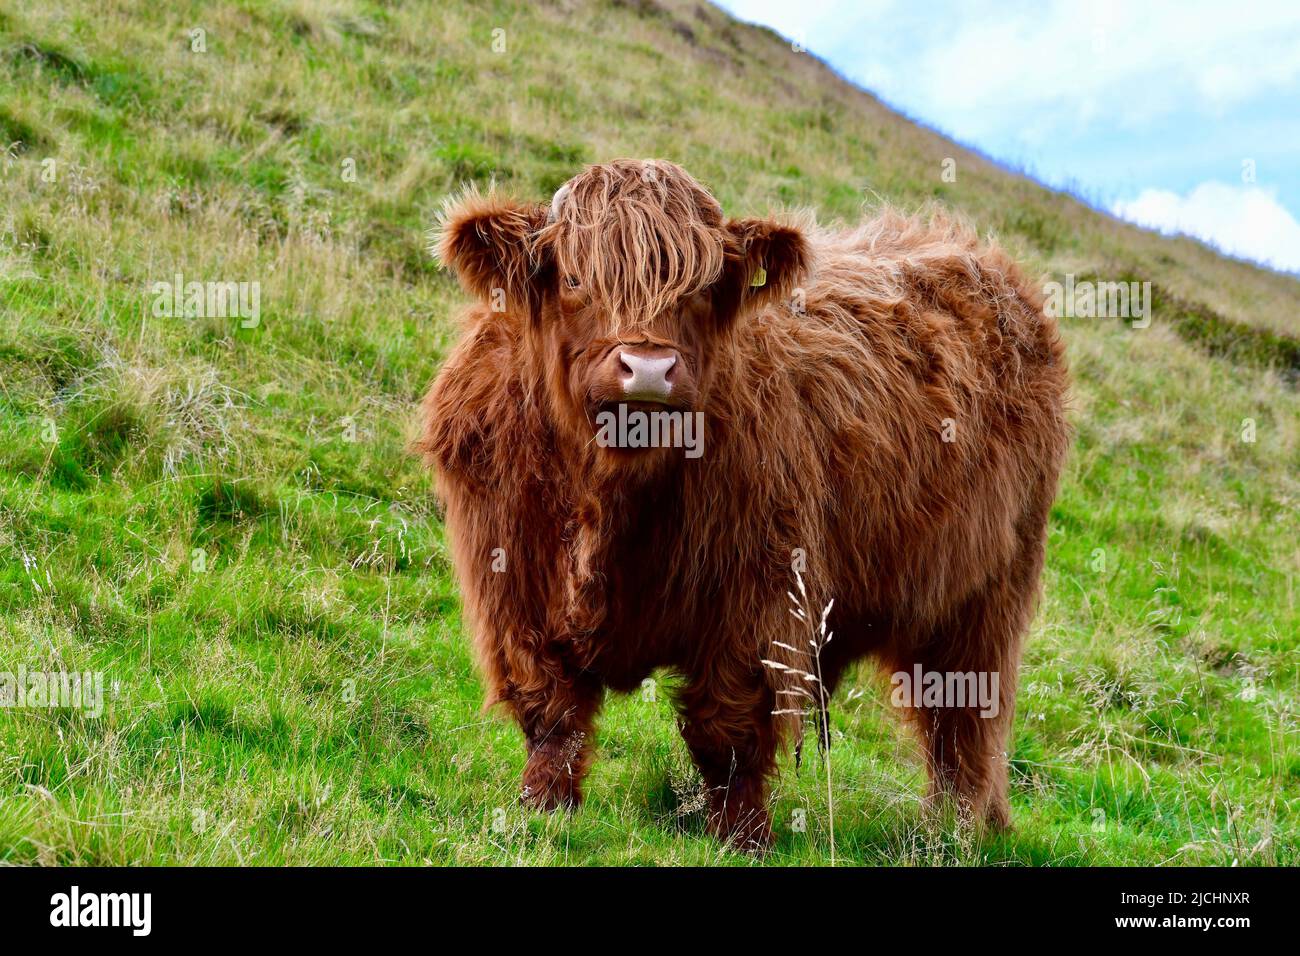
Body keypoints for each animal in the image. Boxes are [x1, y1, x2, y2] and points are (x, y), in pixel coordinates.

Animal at [417, 159, 1070, 850]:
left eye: (703, 289)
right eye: (572, 277)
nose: (648, 369)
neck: (607, 494)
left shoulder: (757, 593)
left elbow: (727, 728)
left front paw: (743, 836)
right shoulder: (511, 584)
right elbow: (552, 710)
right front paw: (543, 809)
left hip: (989, 594)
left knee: (966, 719)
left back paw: (959, 829)